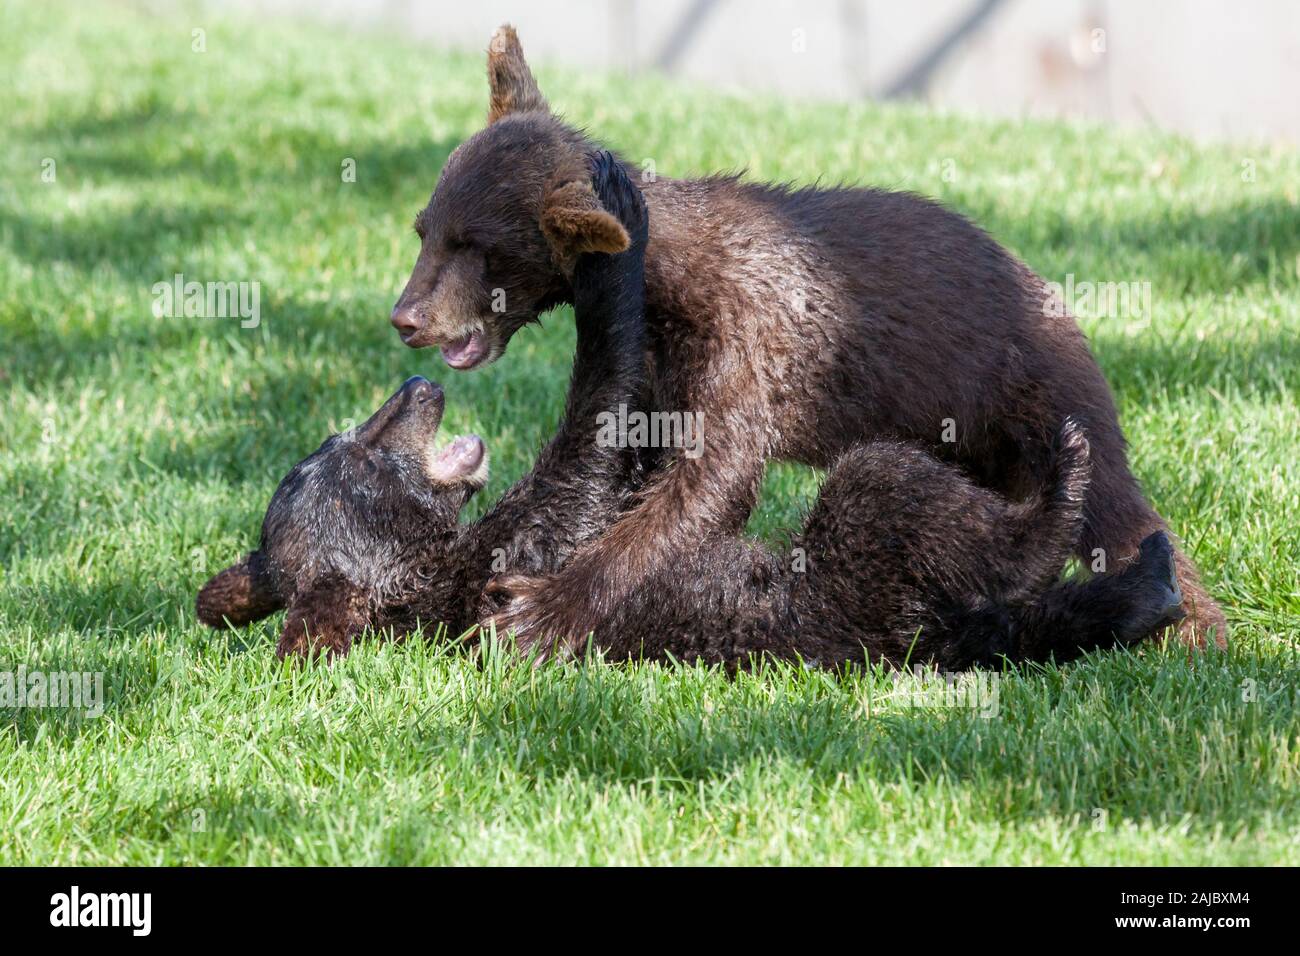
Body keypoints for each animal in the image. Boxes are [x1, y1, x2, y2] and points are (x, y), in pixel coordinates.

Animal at [387, 25, 1225, 655]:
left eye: (478, 248)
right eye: (426, 229)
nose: (406, 317)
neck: (664, 289)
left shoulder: (749, 335)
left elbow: (708, 481)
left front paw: (539, 610)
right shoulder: (663, 364)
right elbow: (638, 456)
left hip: (1035, 387)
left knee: (1115, 506)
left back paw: (1188, 621)